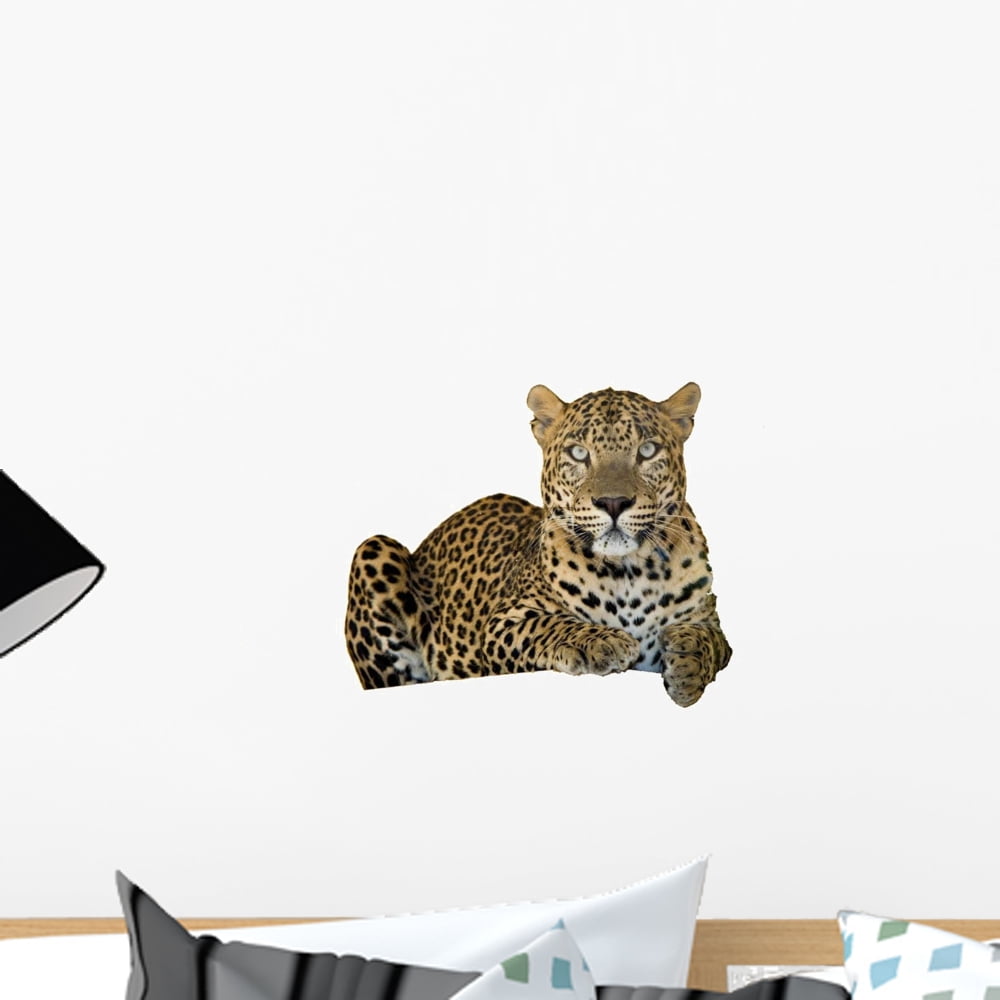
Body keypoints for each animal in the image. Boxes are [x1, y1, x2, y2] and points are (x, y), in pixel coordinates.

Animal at [345, 382, 731, 706]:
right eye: (578, 453)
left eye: (647, 450)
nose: (613, 502)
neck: (630, 573)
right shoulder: (502, 624)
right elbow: (549, 625)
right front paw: (601, 641)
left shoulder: (713, 624)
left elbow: (710, 640)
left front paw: (688, 661)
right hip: (373, 548)